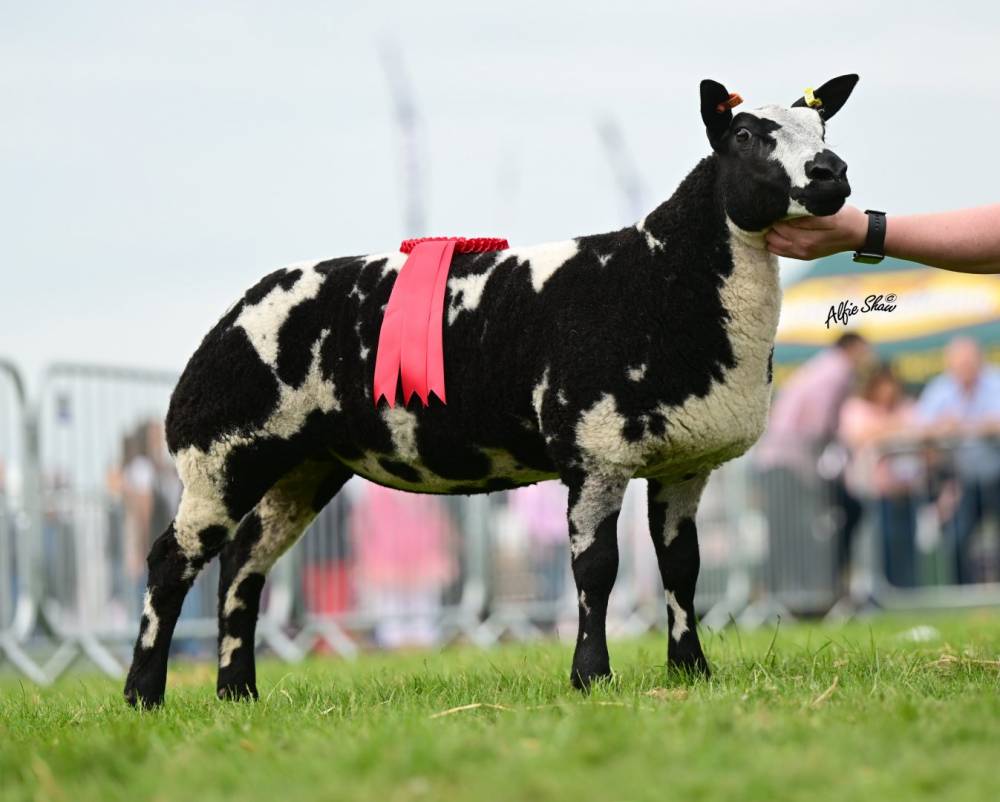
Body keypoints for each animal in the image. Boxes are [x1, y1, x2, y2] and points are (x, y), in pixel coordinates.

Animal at [124, 75, 859, 707]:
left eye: (822, 124)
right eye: (745, 135)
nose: (832, 174)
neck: (662, 276)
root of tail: (232, 315)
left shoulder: (684, 463)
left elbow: (682, 568)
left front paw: (691, 671)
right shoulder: (594, 451)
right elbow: (597, 570)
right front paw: (591, 677)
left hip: (304, 465)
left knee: (242, 565)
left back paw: (236, 693)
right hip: (223, 451)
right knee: (171, 561)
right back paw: (144, 696)